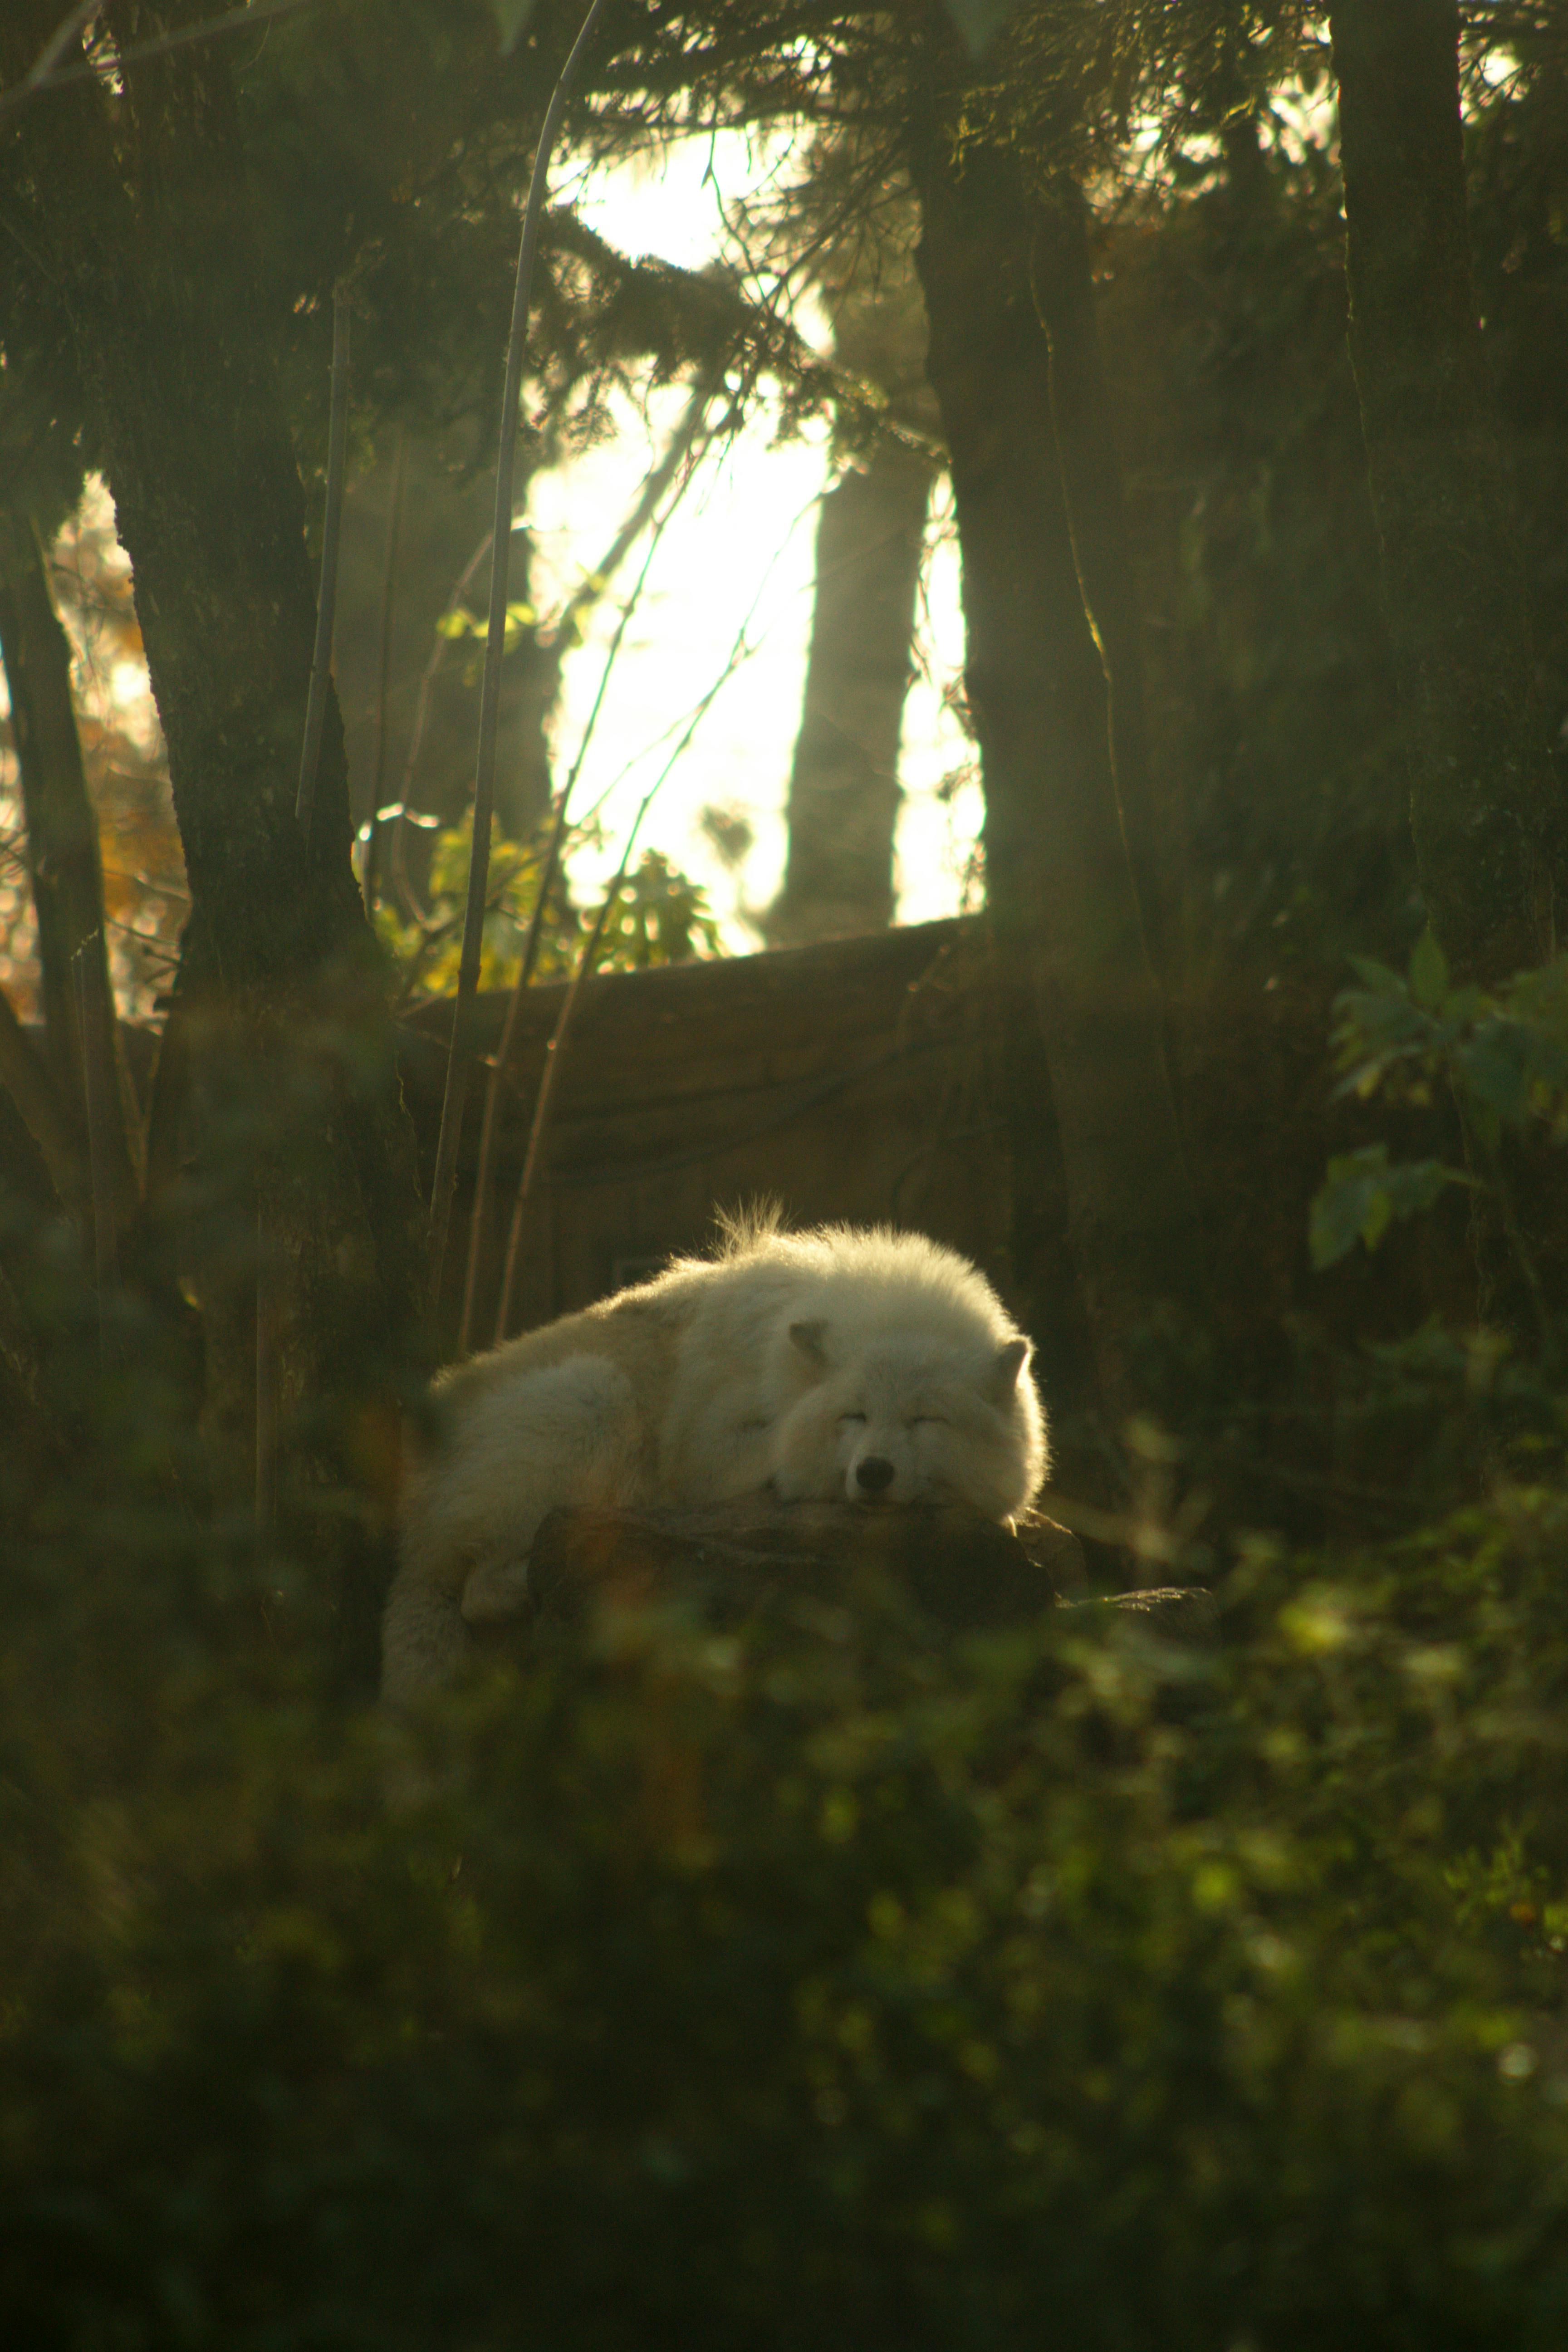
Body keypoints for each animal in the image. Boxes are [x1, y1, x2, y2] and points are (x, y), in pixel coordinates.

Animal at [383, 1212, 1047, 1703]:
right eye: (854, 1415)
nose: (874, 1473)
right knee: (480, 1589)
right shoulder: (712, 1448)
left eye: (925, 1420)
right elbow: (779, 1455)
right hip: (596, 1394)